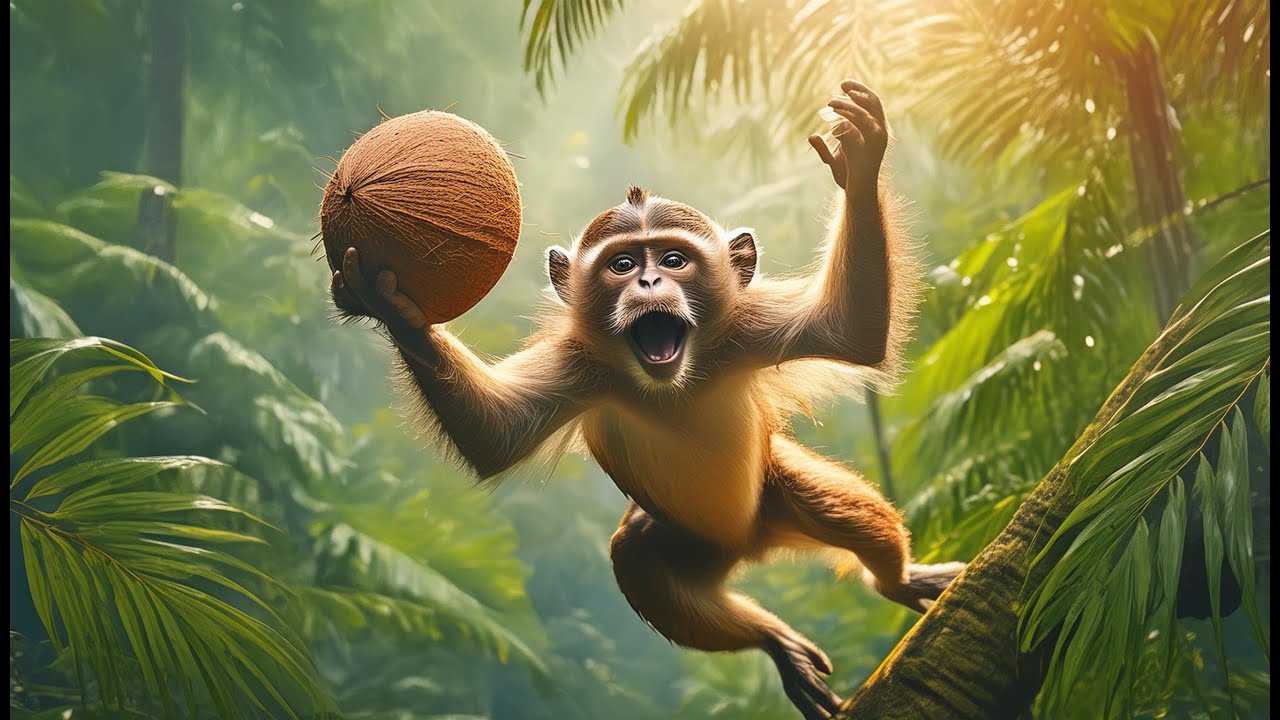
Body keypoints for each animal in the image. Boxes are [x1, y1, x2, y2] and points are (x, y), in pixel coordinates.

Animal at [330, 81, 964, 720]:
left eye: (673, 260)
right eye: (623, 263)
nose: (649, 283)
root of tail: (747, 547)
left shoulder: (746, 328)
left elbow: (850, 330)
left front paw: (858, 163)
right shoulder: (582, 366)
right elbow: (497, 436)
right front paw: (393, 307)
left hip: (766, 499)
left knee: (827, 501)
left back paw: (895, 580)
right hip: (687, 542)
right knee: (638, 562)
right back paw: (771, 638)